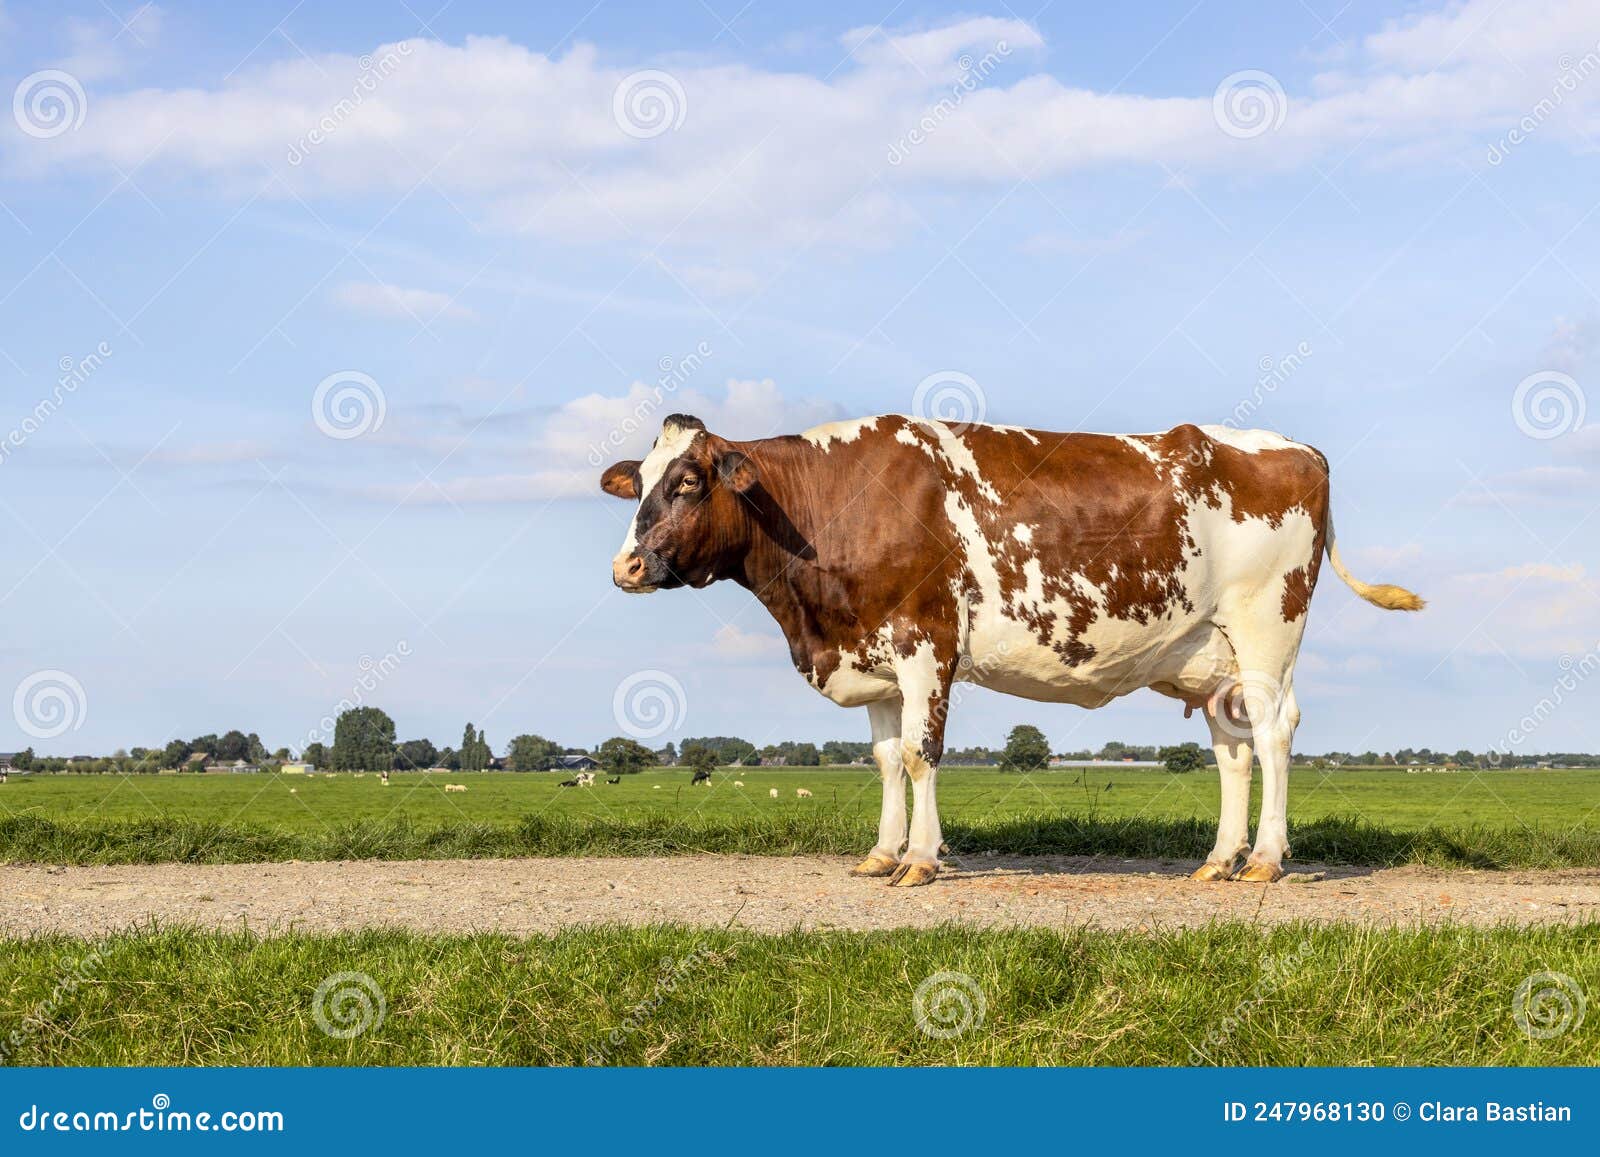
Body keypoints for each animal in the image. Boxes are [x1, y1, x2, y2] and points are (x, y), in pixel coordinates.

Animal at [602, 414, 1422, 887]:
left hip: (1264, 625)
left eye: (688, 481)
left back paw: (1266, 861)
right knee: (1235, 749)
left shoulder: (925, 638)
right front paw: (882, 854)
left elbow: (920, 755)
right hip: (1210, 653)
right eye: (637, 484)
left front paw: (921, 862)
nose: (627, 566)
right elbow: (885, 760)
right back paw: (1221, 859)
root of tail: (1296, 446)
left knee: (1276, 732)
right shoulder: (872, 655)